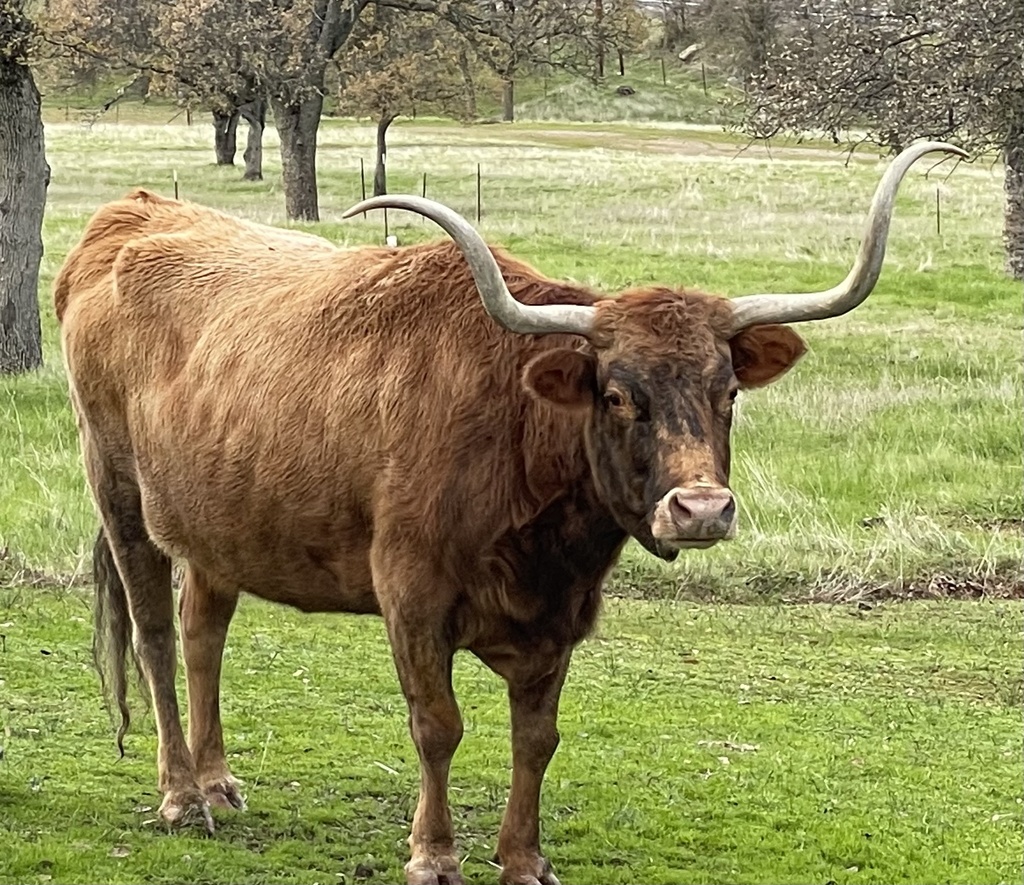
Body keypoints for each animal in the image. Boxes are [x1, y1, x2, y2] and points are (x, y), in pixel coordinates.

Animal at [56, 141, 963, 885]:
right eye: (616, 392)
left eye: (728, 390)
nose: (700, 507)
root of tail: (135, 211)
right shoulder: (412, 597)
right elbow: (438, 725)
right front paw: (433, 853)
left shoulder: (560, 615)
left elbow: (538, 736)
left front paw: (524, 858)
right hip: (120, 494)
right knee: (155, 634)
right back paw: (181, 796)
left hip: (219, 528)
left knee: (203, 632)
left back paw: (217, 780)